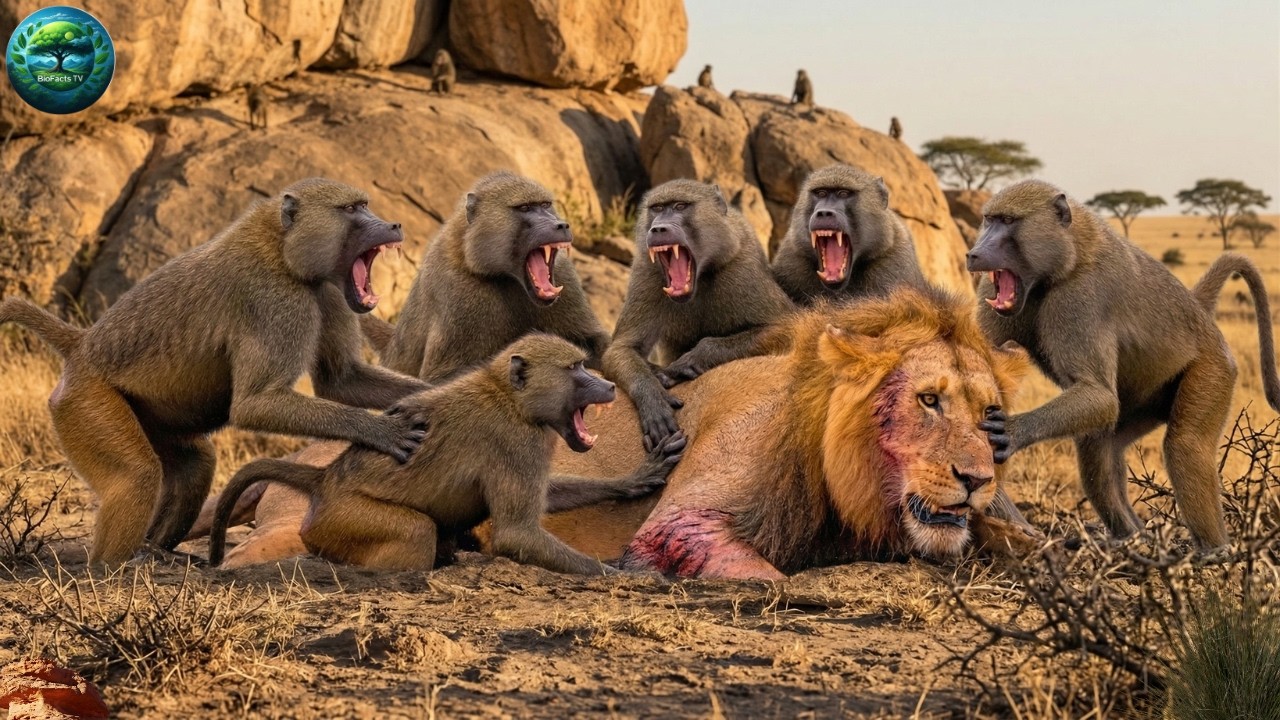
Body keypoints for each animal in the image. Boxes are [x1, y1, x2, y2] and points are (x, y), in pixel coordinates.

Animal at [190, 285, 1036, 576]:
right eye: (927, 401)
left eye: (988, 414)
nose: (975, 478)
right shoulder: (685, 520)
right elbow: (759, 576)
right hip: (310, 521)